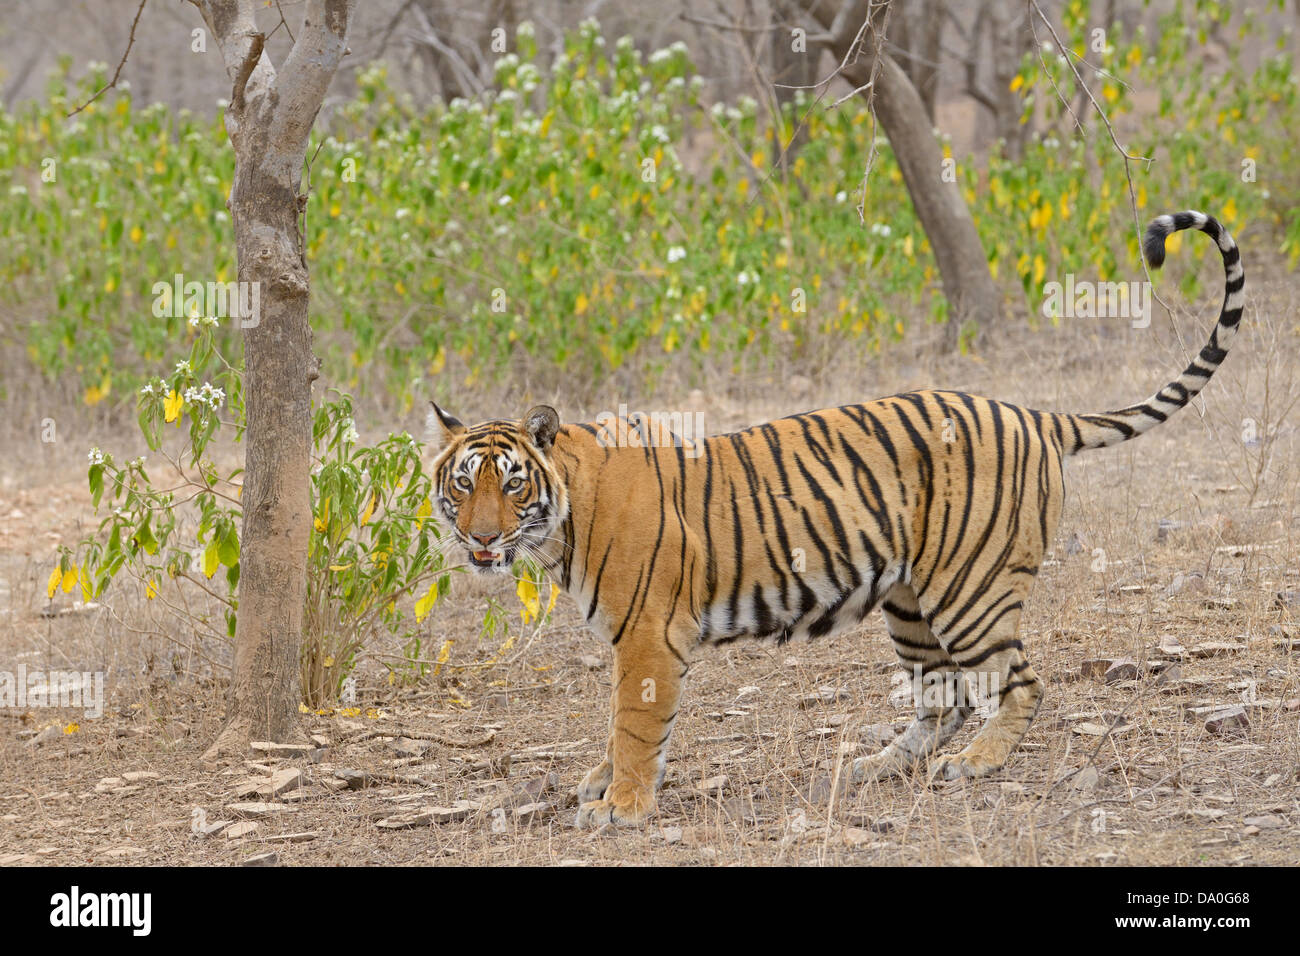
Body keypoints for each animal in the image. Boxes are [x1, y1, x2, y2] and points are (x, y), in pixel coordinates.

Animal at [426, 210, 1244, 828]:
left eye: (512, 486)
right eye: (463, 485)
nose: (481, 537)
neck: (561, 520)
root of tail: (1030, 412)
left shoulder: (649, 638)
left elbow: (633, 724)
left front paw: (620, 806)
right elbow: (623, 727)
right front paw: (603, 785)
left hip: (970, 592)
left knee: (1019, 681)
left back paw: (975, 765)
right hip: (911, 600)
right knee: (942, 696)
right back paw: (876, 767)